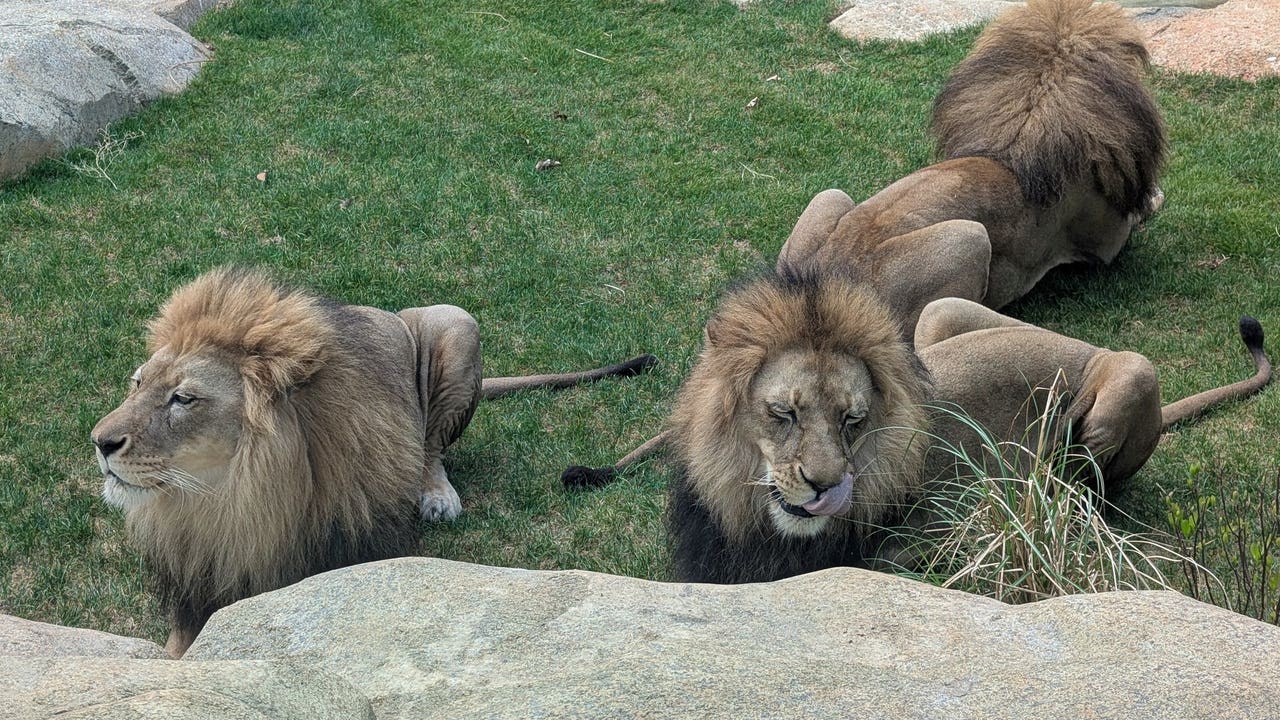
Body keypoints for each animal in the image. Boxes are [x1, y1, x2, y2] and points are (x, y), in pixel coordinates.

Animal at [90, 267, 656, 656]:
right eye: (137, 384)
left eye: (183, 399)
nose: (99, 442)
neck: (227, 500)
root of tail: (391, 314)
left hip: (454, 324)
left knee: (431, 448)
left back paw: (436, 495)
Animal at [565, 271, 1271, 583]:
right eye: (784, 413)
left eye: (854, 420)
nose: (824, 486)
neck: (763, 529)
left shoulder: (922, 547)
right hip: (936, 318)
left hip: (1131, 378)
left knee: (1095, 479)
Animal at [778, 0, 1166, 330]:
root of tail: (827, 280)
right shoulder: (1105, 242)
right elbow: (1135, 216)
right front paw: (1155, 198)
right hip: (970, 238)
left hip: (829, 200)